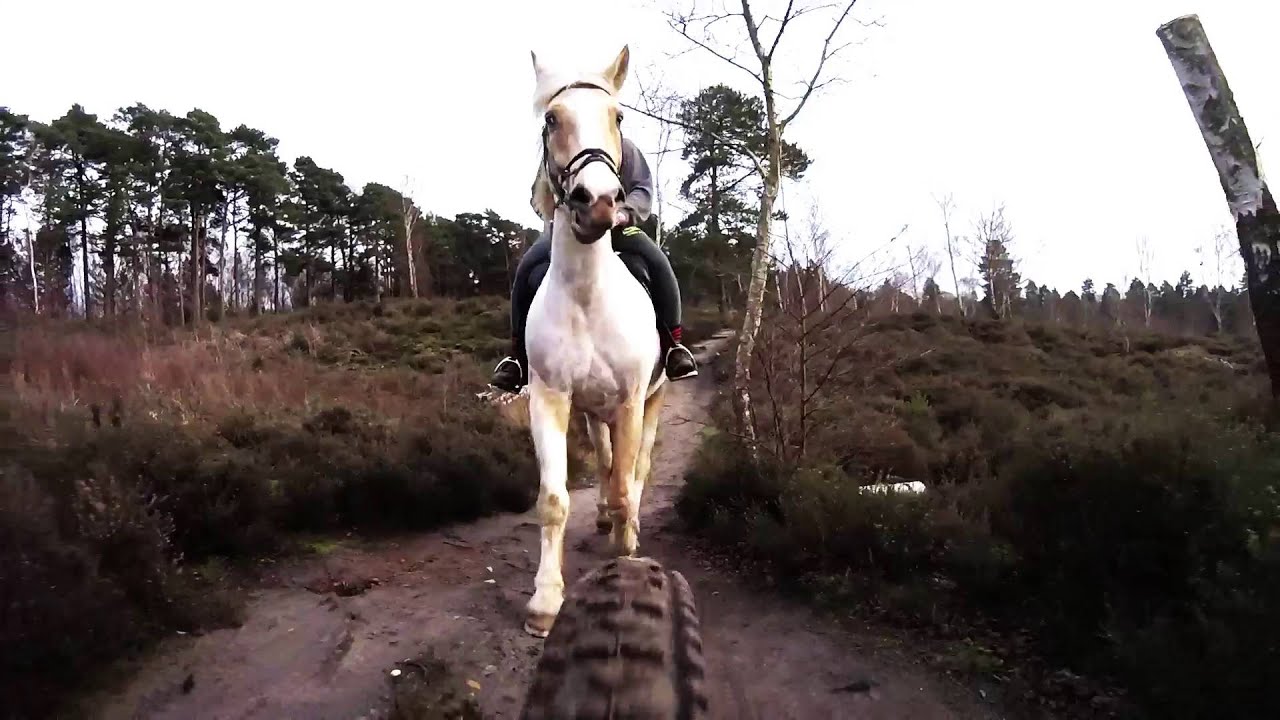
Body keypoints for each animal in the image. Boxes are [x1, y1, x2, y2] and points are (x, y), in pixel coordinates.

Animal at [520, 45, 668, 638]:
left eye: (618, 117)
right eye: (550, 119)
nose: (599, 202)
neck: (587, 296)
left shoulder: (630, 400)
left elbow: (628, 482)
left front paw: (626, 553)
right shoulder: (551, 398)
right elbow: (554, 498)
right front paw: (544, 600)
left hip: (651, 400)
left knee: (636, 468)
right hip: (592, 411)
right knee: (606, 463)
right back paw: (604, 516)